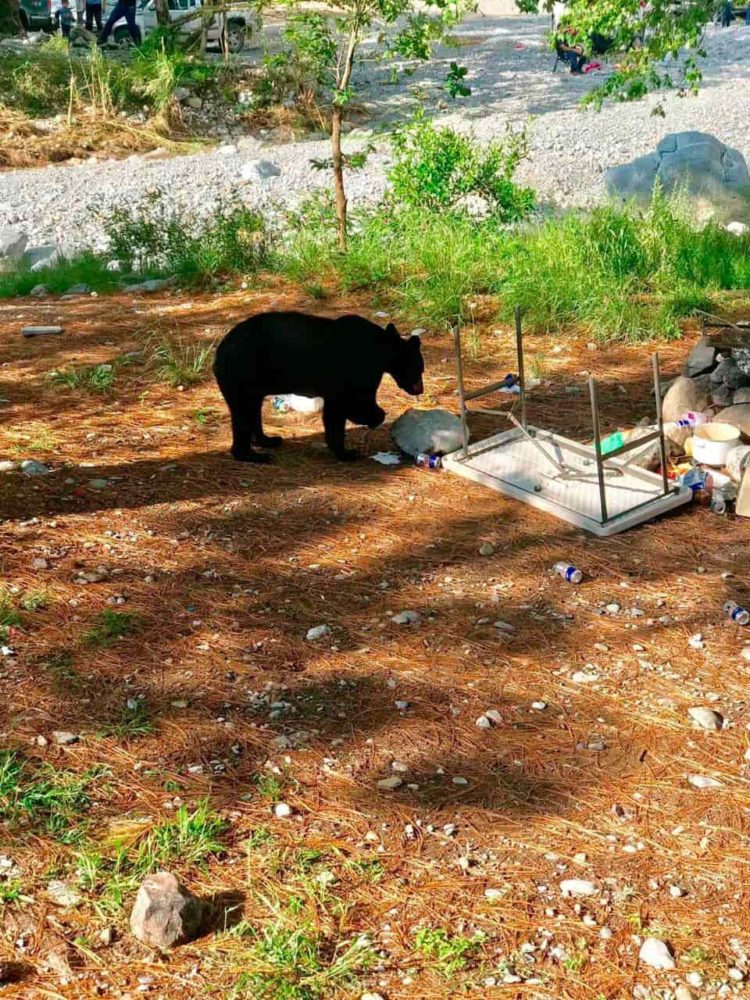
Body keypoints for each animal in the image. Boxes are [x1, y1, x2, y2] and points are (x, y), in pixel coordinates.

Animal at [213, 311, 425, 463]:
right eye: (420, 368)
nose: (421, 389)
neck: (380, 350)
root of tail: (219, 353)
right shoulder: (351, 377)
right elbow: (351, 406)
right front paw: (347, 451)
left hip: (252, 387)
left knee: (252, 413)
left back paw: (267, 440)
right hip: (240, 377)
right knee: (242, 415)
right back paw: (252, 455)